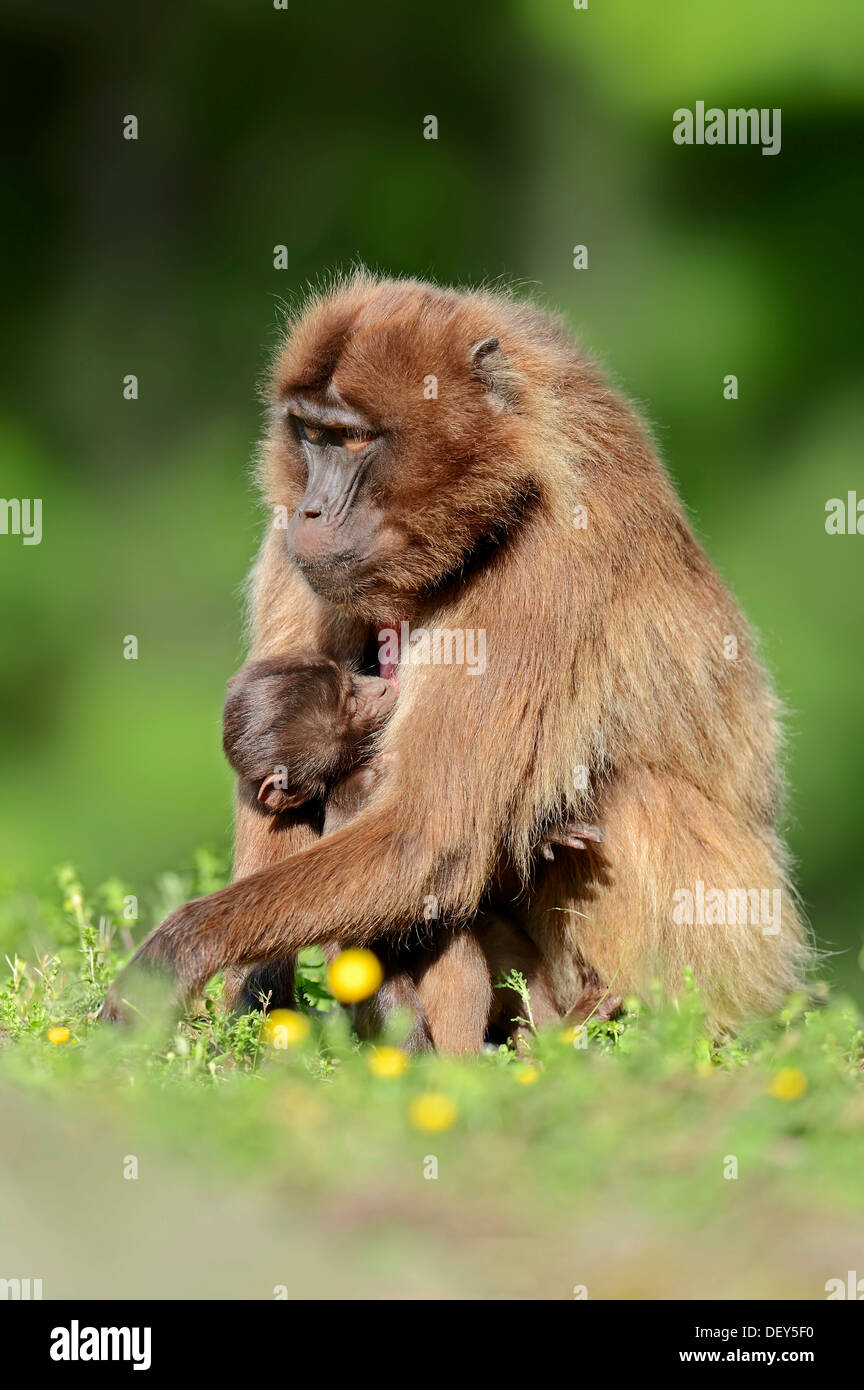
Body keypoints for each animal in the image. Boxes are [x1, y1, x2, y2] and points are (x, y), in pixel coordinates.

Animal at [102, 271, 809, 1042]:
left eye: (352, 440)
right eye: (312, 436)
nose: (312, 512)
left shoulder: (553, 553)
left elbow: (428, 841)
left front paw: (177, 950)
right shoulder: (295, 555)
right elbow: (276, 774)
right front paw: (255, 1015)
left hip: (736, 943)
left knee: (631, 791)